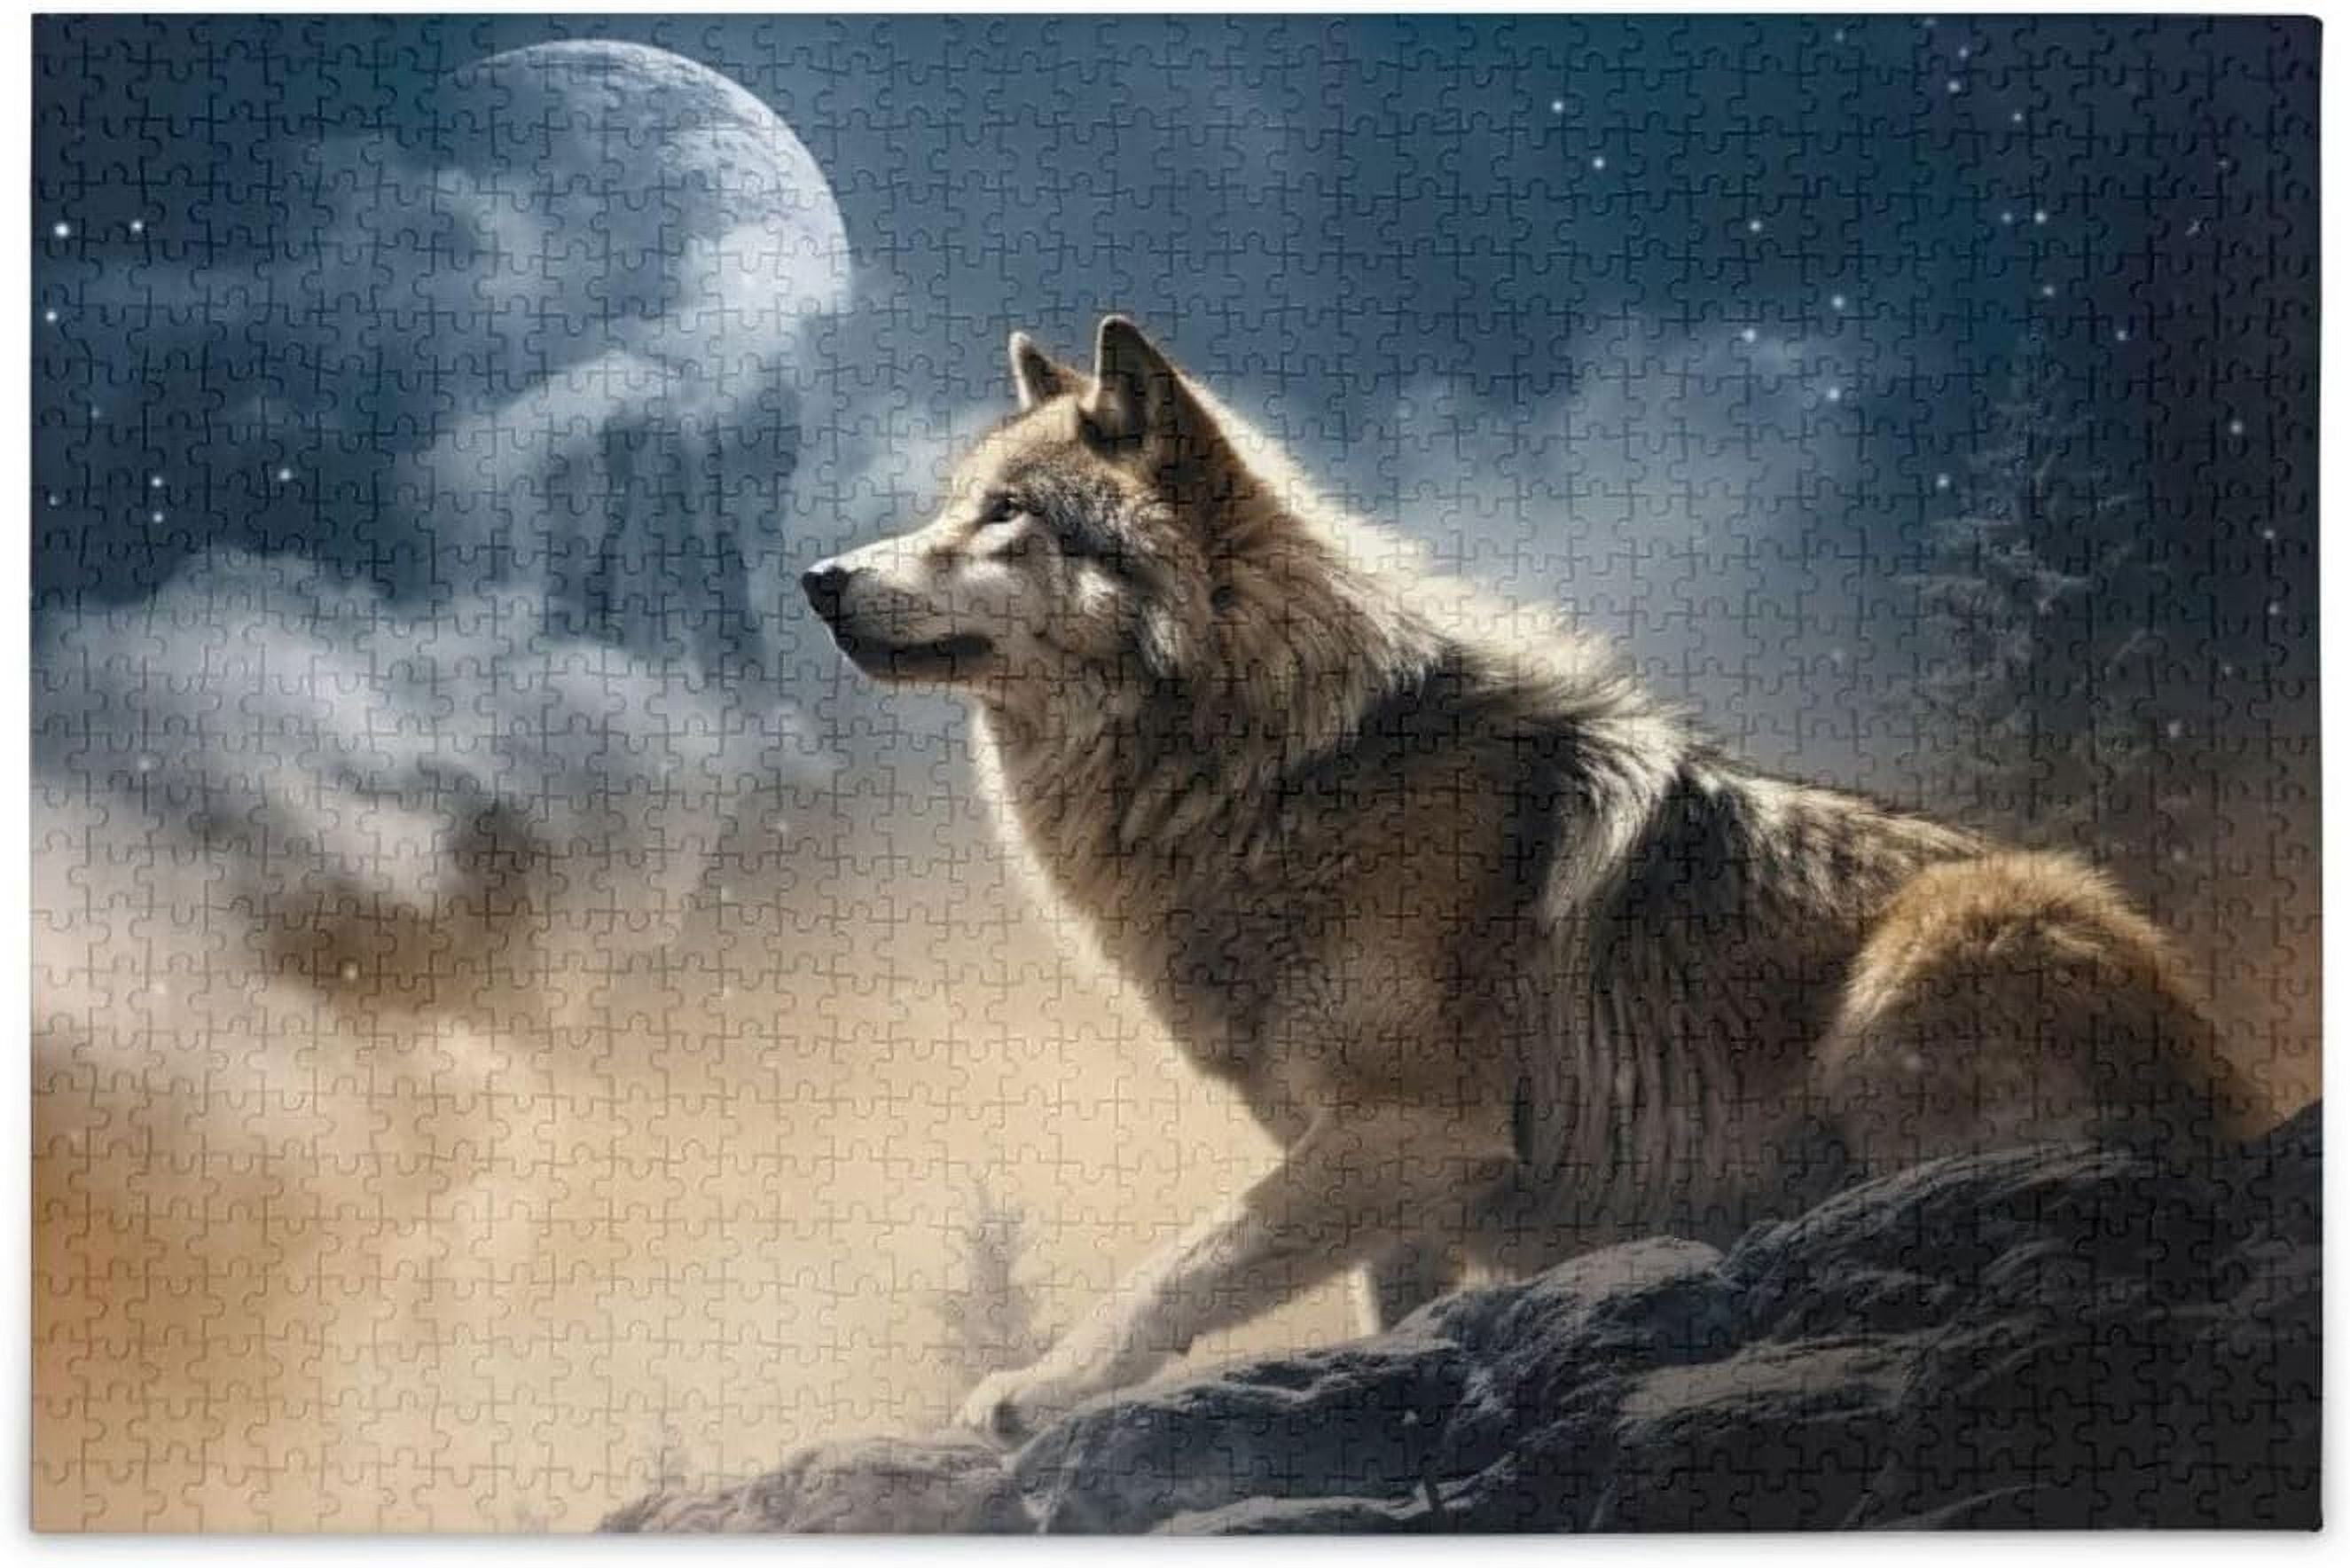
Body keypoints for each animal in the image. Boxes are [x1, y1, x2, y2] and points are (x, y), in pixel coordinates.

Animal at [802, 315, 2264, 1443]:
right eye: (952, 503)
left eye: (1002, 516)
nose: (817, 576)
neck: (1276, 765)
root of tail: (2232, 1082)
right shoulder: (1382, 1180)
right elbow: (1374, 1309)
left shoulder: (1416, 1129)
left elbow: (1184, 1264)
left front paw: (1033, 1392)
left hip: (1916, 977)